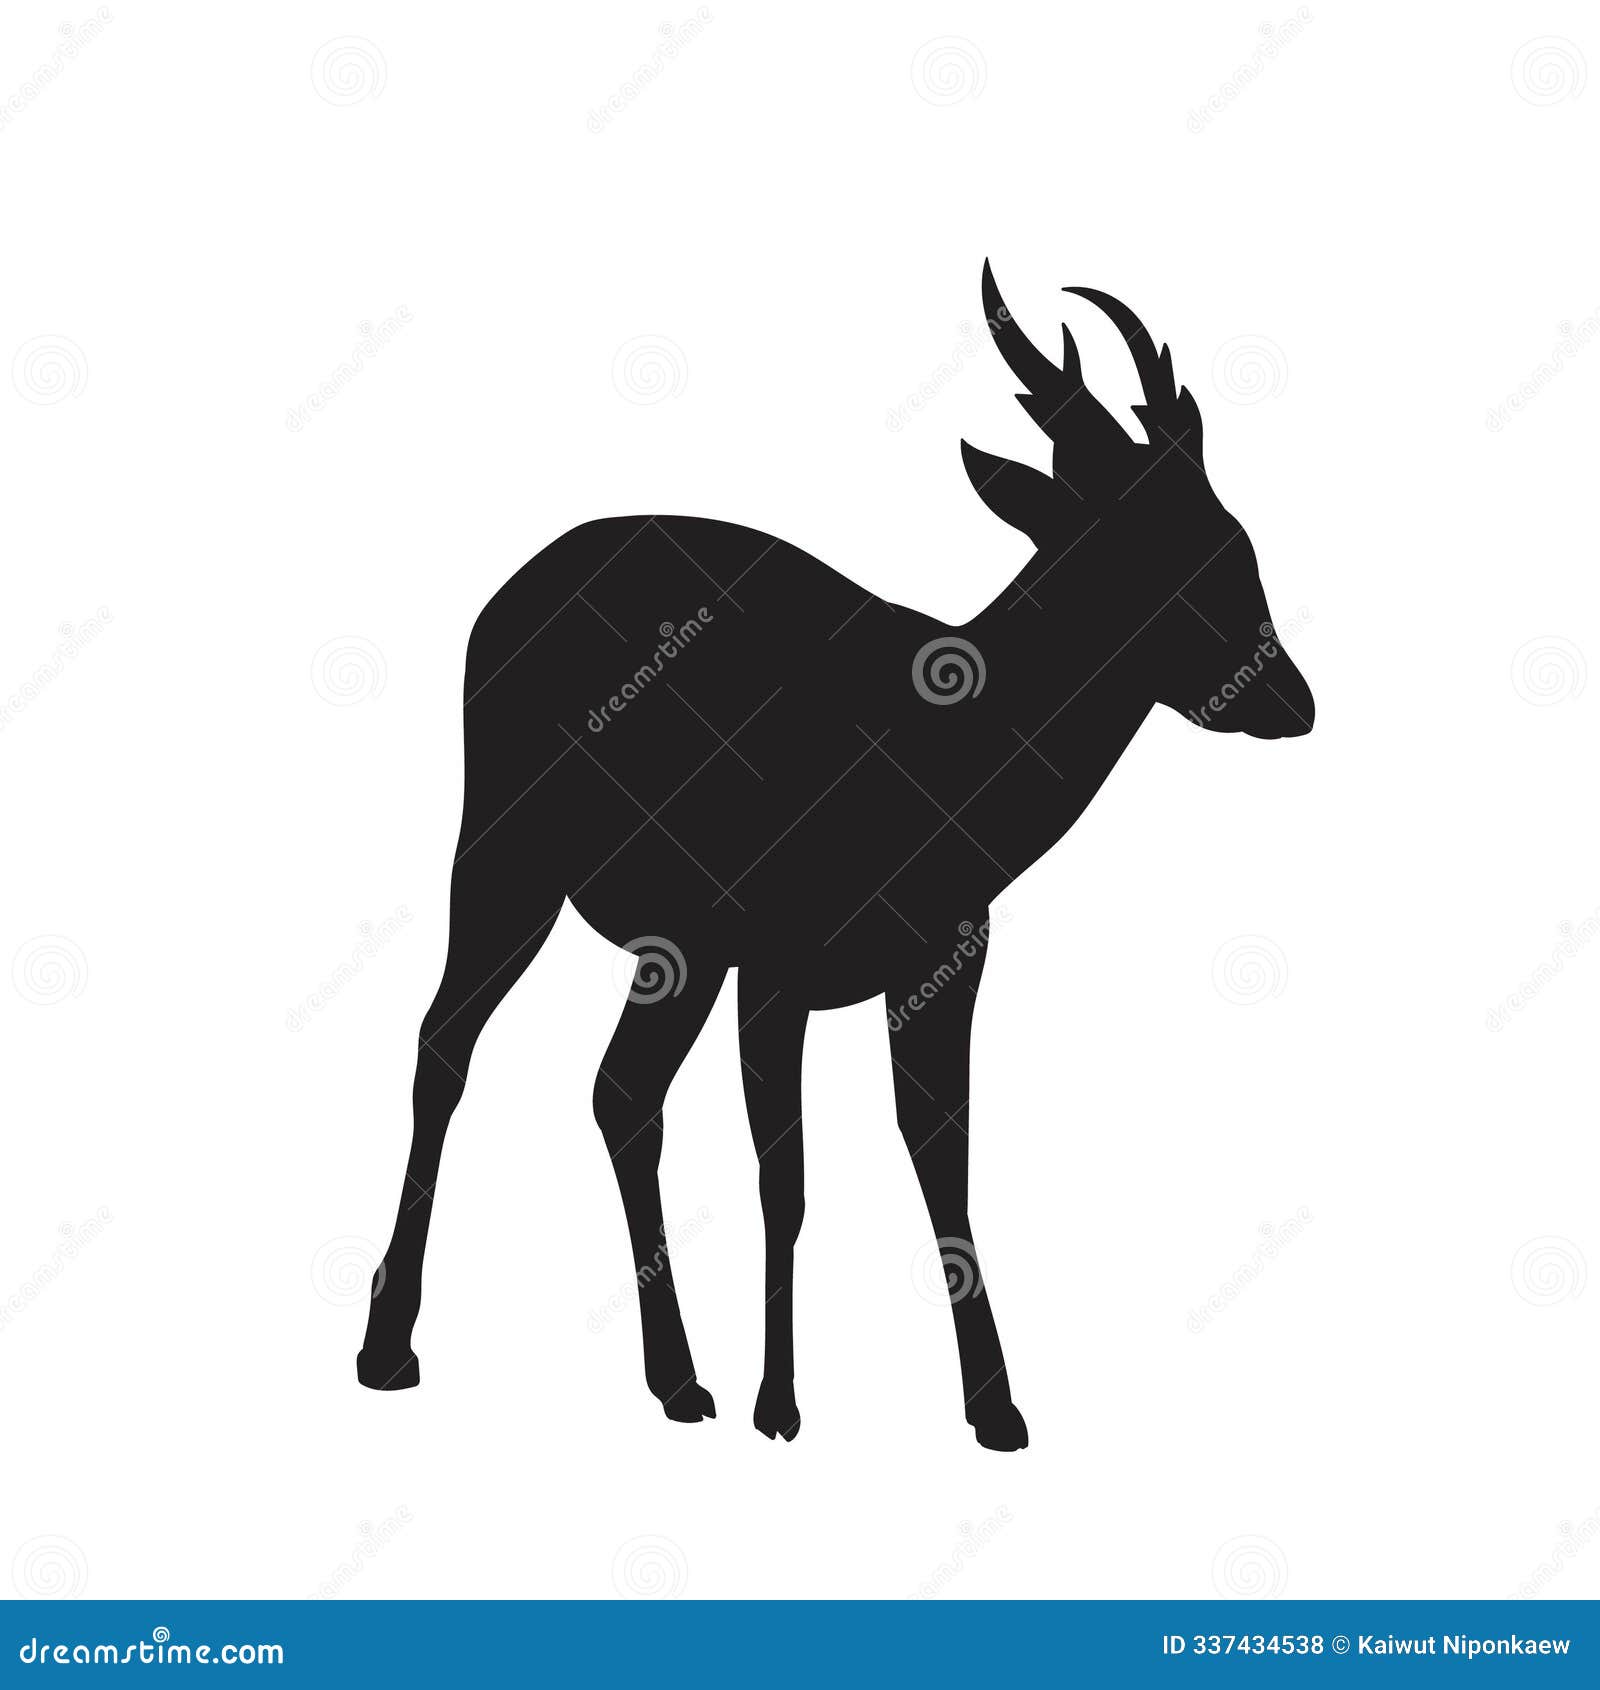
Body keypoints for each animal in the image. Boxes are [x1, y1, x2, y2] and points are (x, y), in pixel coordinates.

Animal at [357, 262, 1314, 1450]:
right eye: (1134, 546)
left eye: (1230, 531)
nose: (1290, 698)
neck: (941, 753)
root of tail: (505, 595)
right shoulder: (775, 964)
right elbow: (789, 1180)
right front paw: (781, 1404)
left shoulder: (941, 961)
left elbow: (941, 1157)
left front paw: (996, 1410)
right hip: (505, 857)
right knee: (447, 1043)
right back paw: (390, 1349)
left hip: (673, 947)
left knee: (619, 1091)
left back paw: (677, 1382)